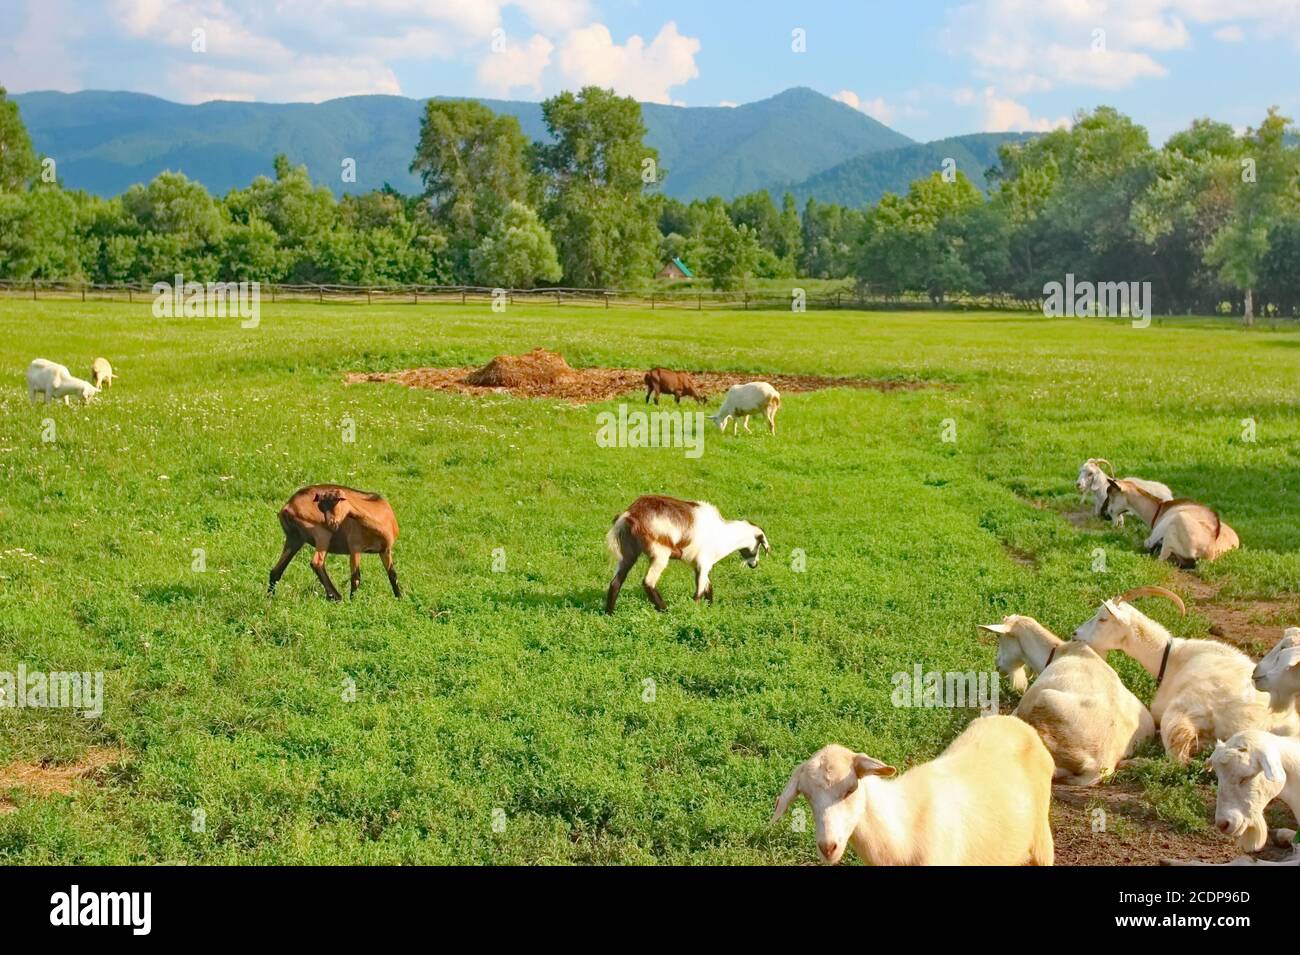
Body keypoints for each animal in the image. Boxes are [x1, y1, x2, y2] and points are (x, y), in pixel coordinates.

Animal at [269, 484, 401, 601]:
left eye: (336, 502)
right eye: (320, 507)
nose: (330, 524)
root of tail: (288, 506)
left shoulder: (385, 550)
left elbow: (392, 575)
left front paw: (399, 598)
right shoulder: (355, 548)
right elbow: (355, 577)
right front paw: (353, 602)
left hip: (294, 539)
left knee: (276, 570)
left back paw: (269, 598)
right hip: (321, 534)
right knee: (317, 562)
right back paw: (336, 597)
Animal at [604, 494, 768, 614]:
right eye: (759, 544)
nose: (755, 564)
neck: (723, 533)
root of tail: (630, 514)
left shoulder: (698, 566)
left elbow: (708, 587)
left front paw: (710, 609)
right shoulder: (704, 563)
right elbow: (699, 592)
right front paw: (693, 613)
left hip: (628, 552)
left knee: (616, 582)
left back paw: (610, 613)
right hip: (660, 553)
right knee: (648, 582)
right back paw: (665, 611)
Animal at [1100, 480, 1238, 567]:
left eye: (1109, 494)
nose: (1102, 513)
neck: (1159, 508)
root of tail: (1208, 552)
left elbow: (1146, 543)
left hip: (1177, 522)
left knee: (1159, 559)